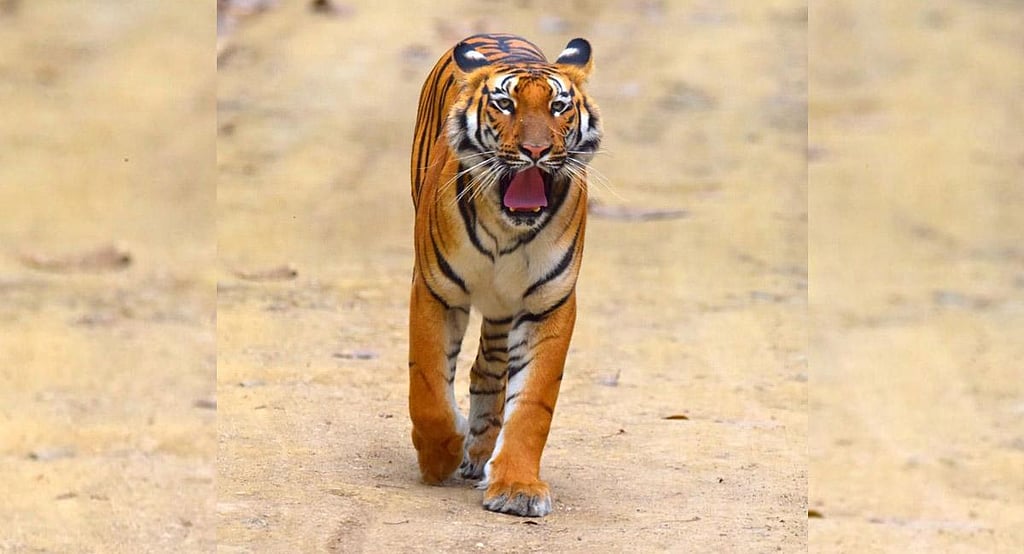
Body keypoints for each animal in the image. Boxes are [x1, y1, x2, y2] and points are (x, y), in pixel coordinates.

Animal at [407, 33, 601, 517]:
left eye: (558, 107)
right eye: (505, 105)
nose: (536, 151)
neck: (507, 230)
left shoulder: (549, 303)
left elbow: (532, 404)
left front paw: (516, 487)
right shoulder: (436, 291)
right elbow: (428, 386)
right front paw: (440, 455)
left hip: (502, 306)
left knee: (488, 369)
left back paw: (481, 454)